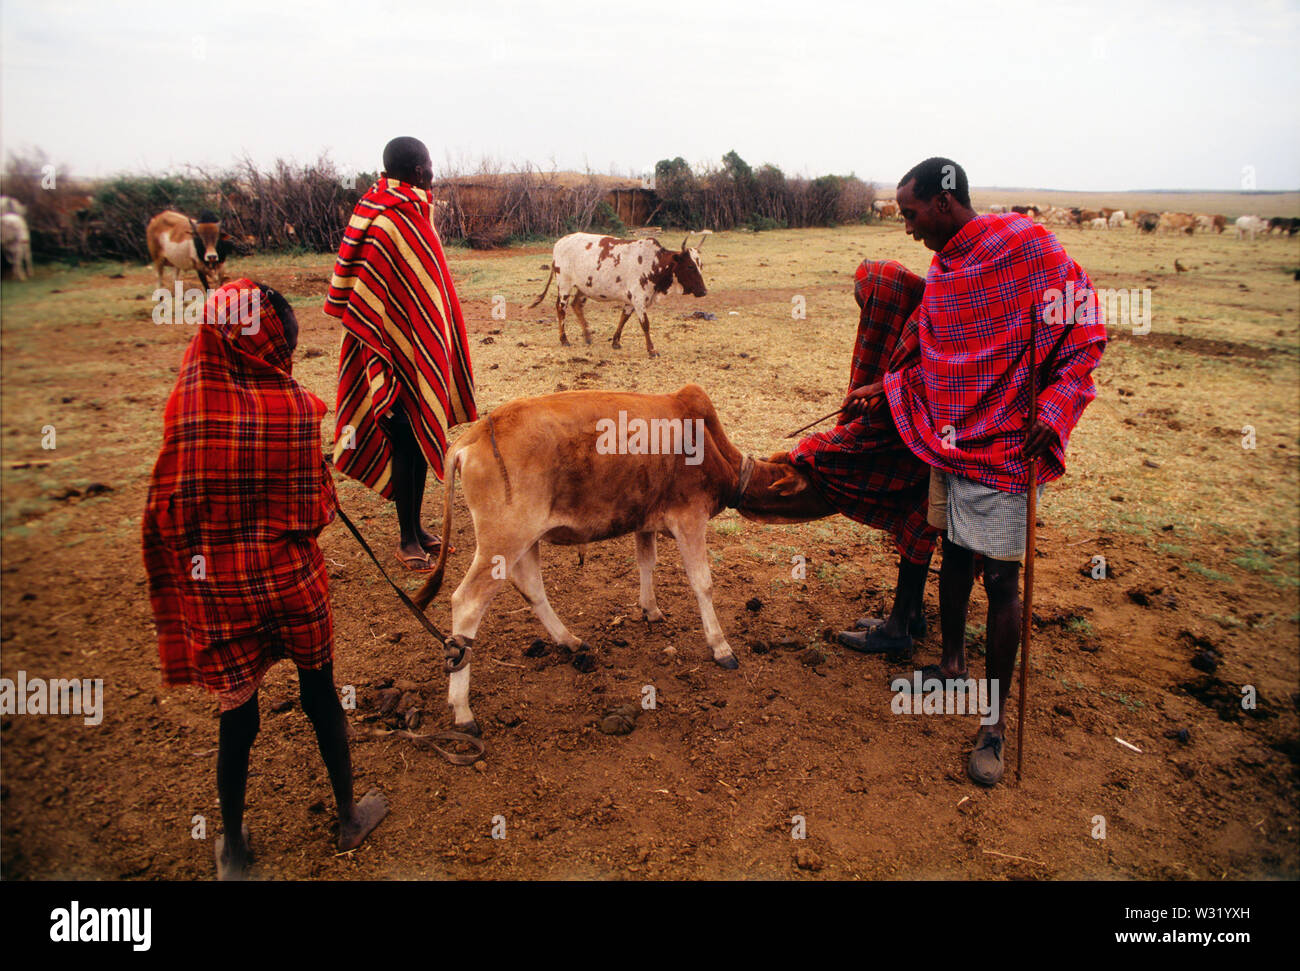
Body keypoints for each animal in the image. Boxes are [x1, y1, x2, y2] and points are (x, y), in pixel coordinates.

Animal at [410, 385, 835, 735]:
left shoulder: (645, 519)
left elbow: (647, 563)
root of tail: (473, 437)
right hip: (503, 540)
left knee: (532, 589)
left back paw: (569, 640)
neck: (709, 446)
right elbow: (702, 583)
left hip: (524, 540)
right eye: (814, 480)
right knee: (467, 602)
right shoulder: (690, 518)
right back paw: (462, 710)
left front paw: (650, 609)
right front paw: (720, 647)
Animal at [529, 232, 707, 358]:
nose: (703, 291)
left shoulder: (631, 300)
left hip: (584, 286)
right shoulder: (638, 299)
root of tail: (560, 242)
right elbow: (645, 324)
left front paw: (615, 341)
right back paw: (564, 339)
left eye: (700, 265)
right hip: (564, 284)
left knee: (576, 305)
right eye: (690, 266)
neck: (654, 263)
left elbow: (624, 318)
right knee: (561, 308)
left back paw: (587, 336)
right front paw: (652, 350)